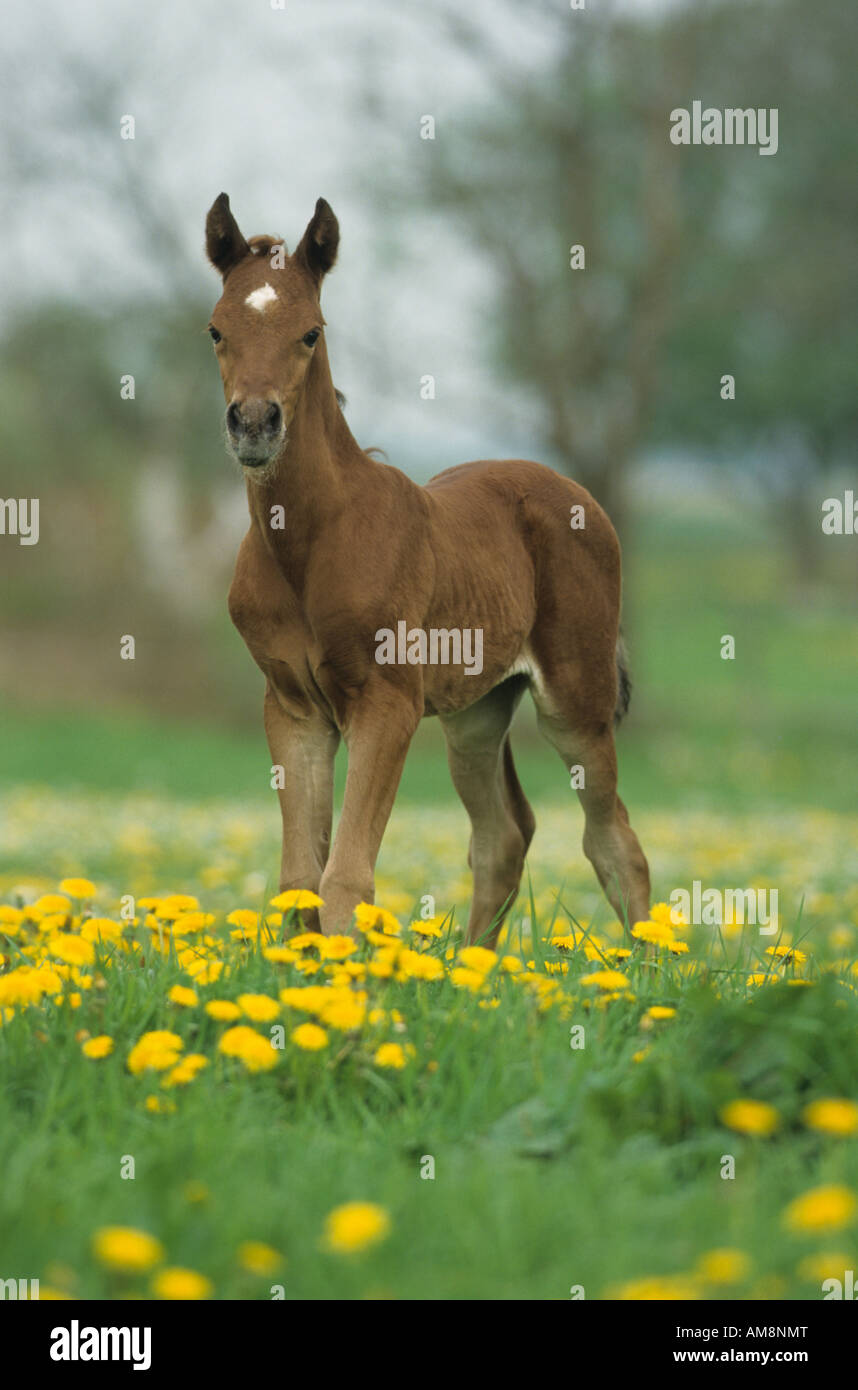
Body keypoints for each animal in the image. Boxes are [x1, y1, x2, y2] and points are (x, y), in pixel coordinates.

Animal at [205, 193, 651, 942]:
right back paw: (477, 964)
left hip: (575, 701)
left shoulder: (388, 701)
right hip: (476, 713)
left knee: (613, 841)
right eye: (215, 330)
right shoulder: (293, 709)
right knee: (504, 836)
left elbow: (346, 877)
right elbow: (300, 880)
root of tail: (575, 492)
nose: (255, 423)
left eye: (311, 334)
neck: (311, 545)